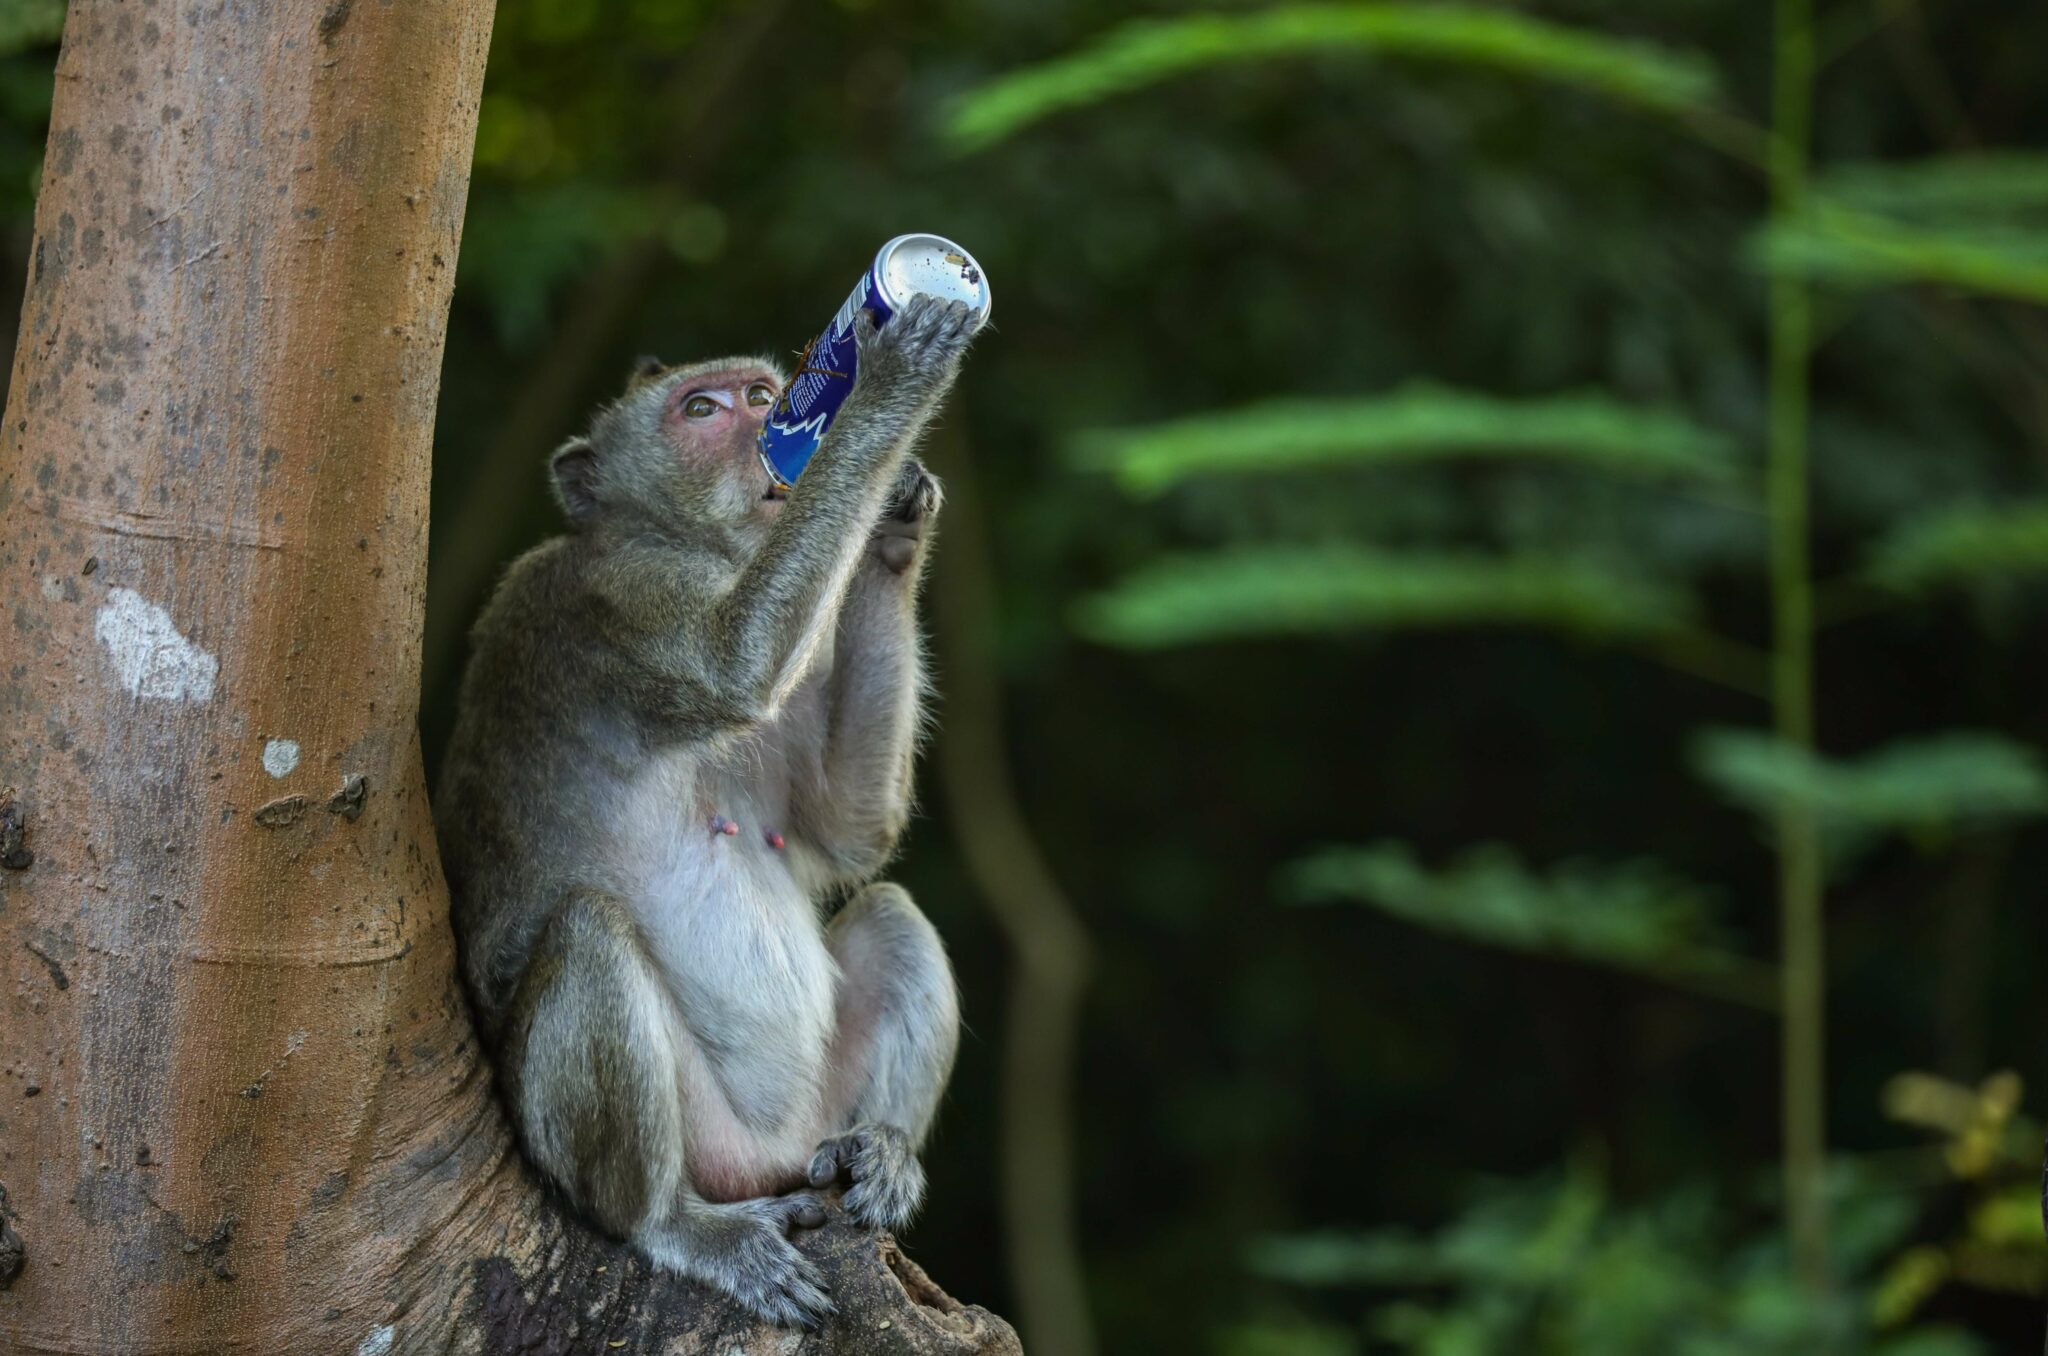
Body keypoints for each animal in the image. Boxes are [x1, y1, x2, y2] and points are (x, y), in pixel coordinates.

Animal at [434, 294, 976, 1327]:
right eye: (698, 410)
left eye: (760, 395)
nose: (768, 421)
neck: (684, 545)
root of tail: (768, 1162)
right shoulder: (614, 601)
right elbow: (735, 663)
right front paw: (888, 381)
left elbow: (855, 835)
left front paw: (896, 522)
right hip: (690, 1142)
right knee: (591, 936)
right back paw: (677, 1227)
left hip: (812, 1121)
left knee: (891, 913)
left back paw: (879, 1152)